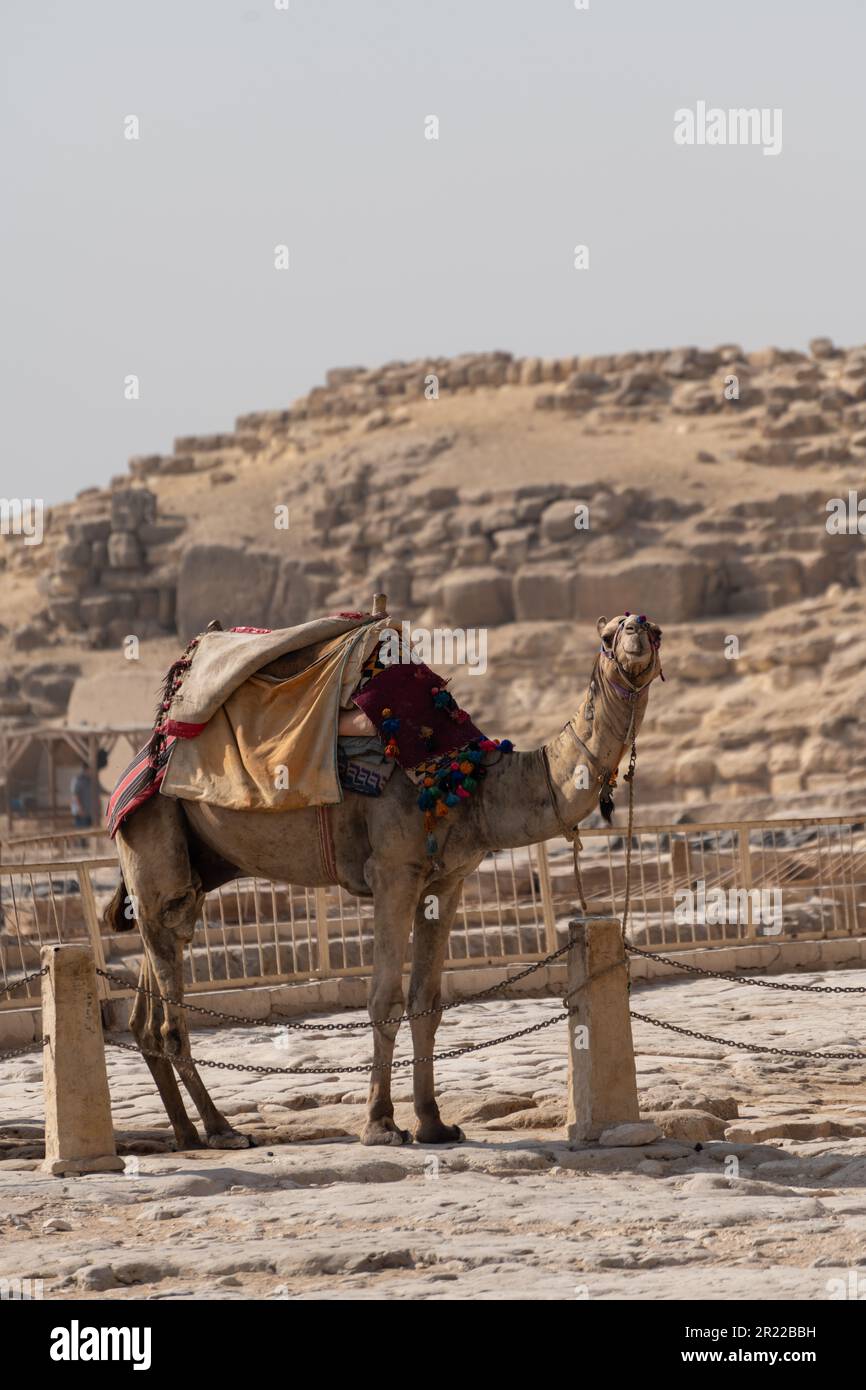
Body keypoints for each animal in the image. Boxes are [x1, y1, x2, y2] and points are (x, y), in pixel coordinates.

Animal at [106, 611, 663, 1149]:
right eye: (609, 634)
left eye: (654, 630)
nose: (637, 634)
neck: (468, 782)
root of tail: (143, 758)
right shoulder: (394, 871)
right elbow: (384, 1001)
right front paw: (381, 1125)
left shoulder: (447, 881)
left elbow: (428, 1004)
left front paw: (434, 1124)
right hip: (152, 828)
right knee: (170, 1011)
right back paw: (222, 1130)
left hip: (188, 869)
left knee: (156, 980)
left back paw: (185, 1133)